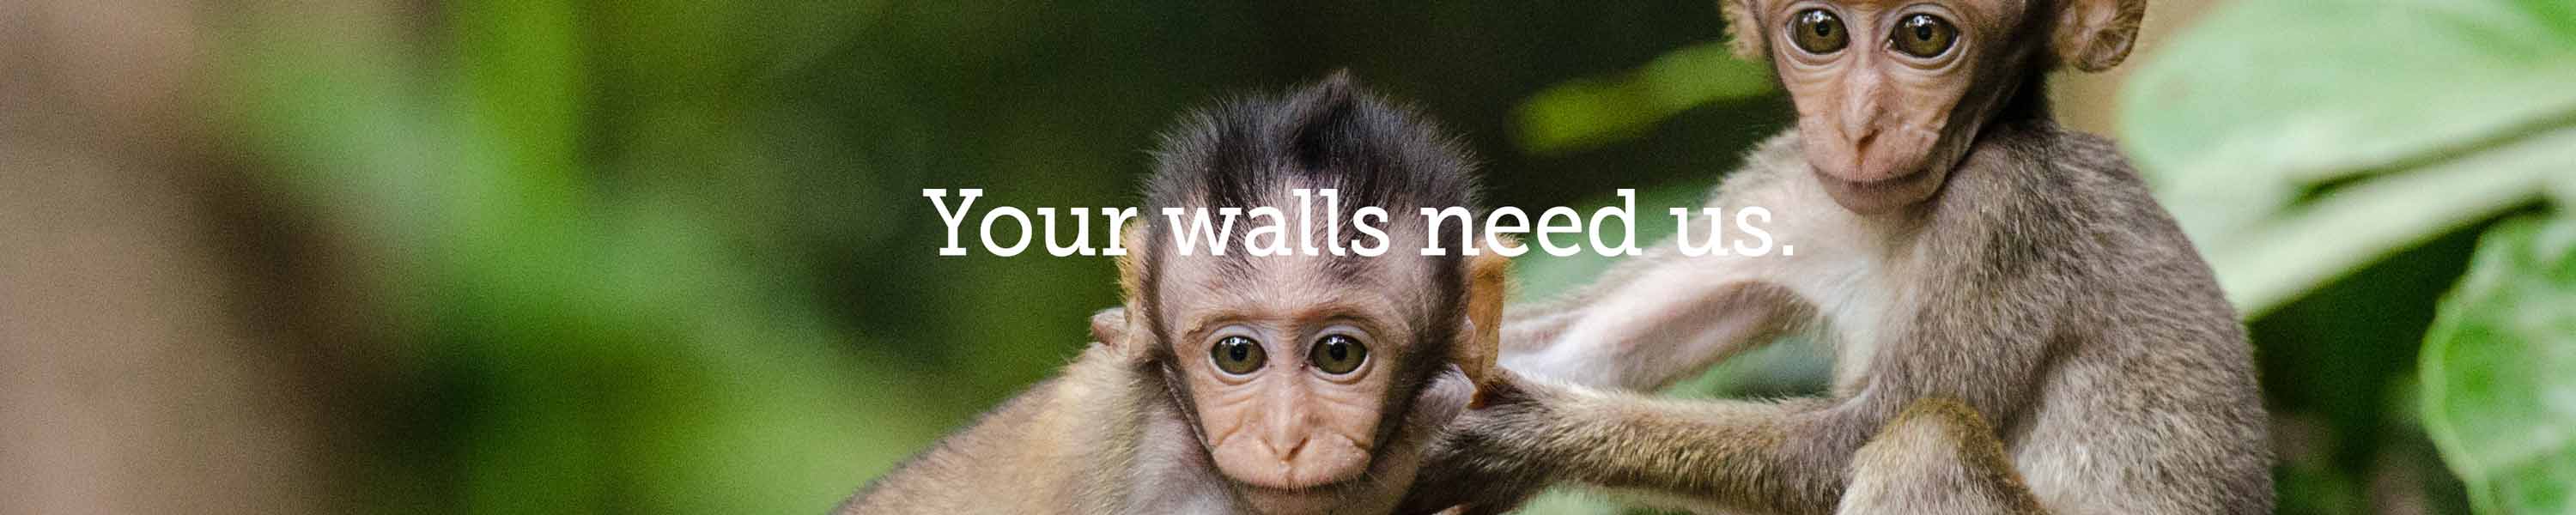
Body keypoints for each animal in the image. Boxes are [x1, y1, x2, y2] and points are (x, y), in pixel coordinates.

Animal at [1394, 0, 2274, 513]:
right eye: (1820, 29)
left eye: (1924, 34)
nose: (1856, 125)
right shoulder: (1788, 183)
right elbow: (1582, 345)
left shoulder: (2006, 213)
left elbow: (1851, 439)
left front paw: (1529, 437)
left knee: (1925, 441)